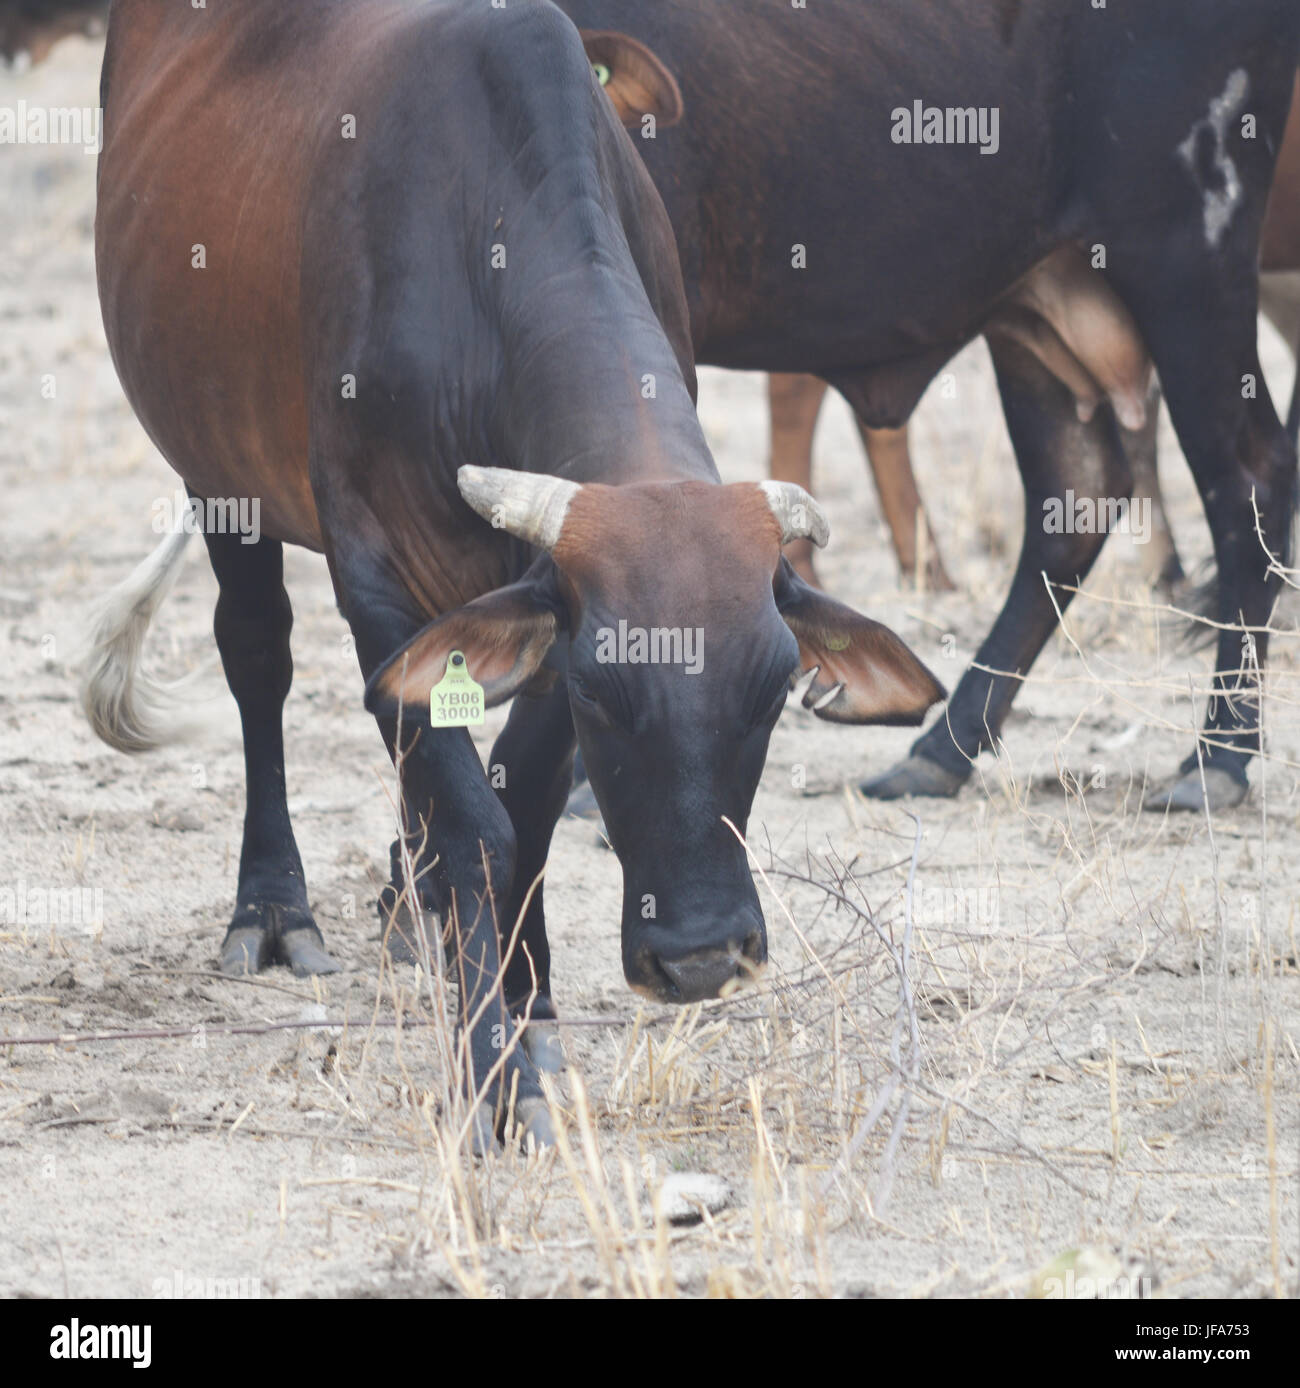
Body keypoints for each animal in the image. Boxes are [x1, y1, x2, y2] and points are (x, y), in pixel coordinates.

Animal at [83, 0, 944, 1145]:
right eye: (605, 695)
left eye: (771, 696)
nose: (700, 957)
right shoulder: (379, 584)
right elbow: (473, 823)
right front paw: (496, 1069)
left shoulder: (535, 621)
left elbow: (521, 812)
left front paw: (529, 1026)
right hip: (219, 477)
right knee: (258, 660)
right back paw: (275, 908)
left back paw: (414, 915)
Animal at [559, 0, 1300, 813]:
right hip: (1039, 306)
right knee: (1078, 495)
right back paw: (945, 748)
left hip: (1187, 264)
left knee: (1249, 482)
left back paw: (1217, 755)